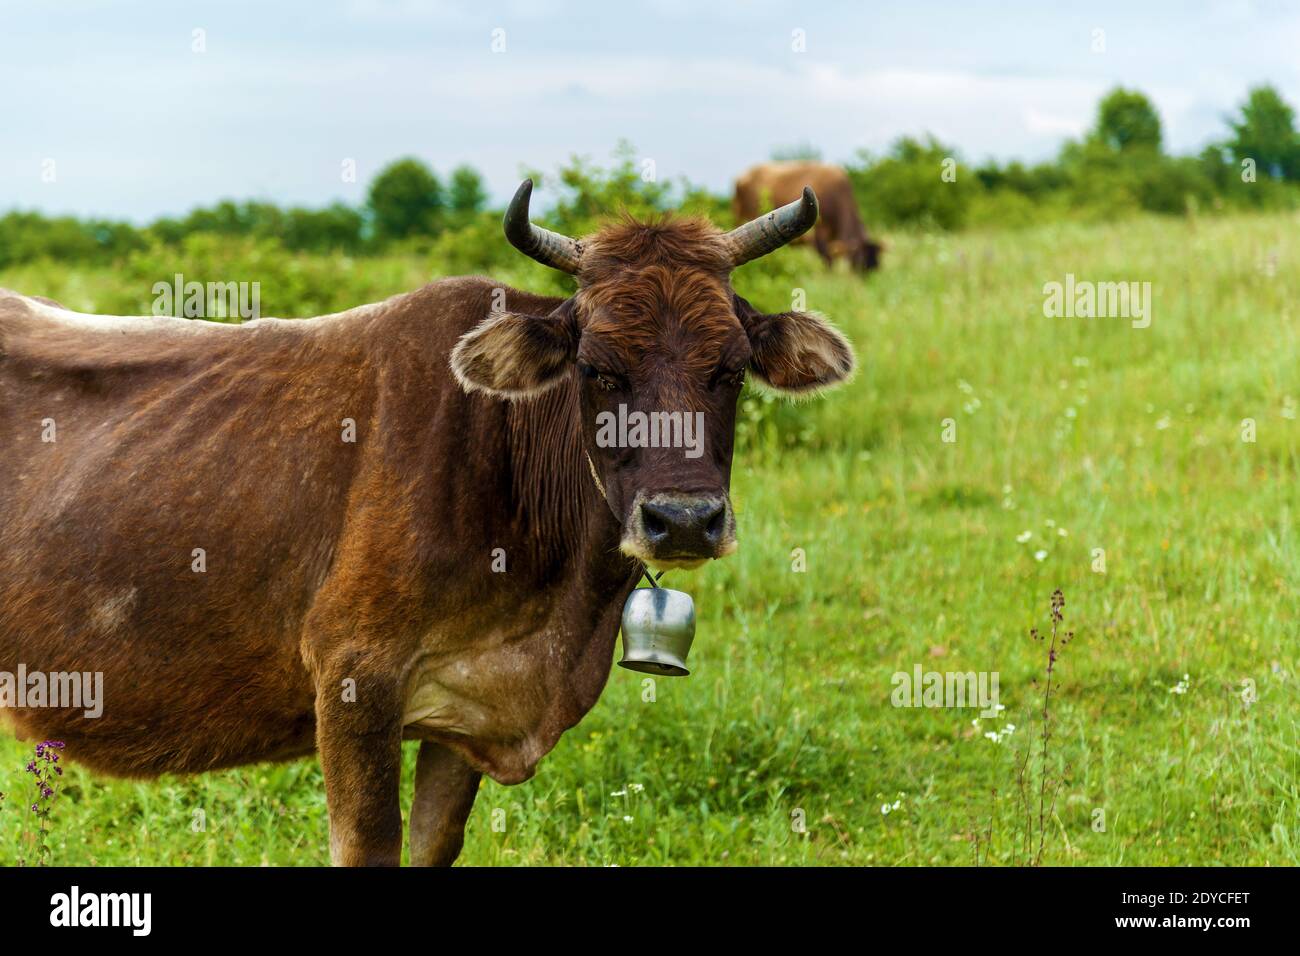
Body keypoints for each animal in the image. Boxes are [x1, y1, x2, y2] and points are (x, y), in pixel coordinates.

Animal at [0, 180, 854, 866]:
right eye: (596, 369)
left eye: (732, 370)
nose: (682, 521)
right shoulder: (353, 678)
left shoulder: (465, 709)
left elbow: (434, 842)